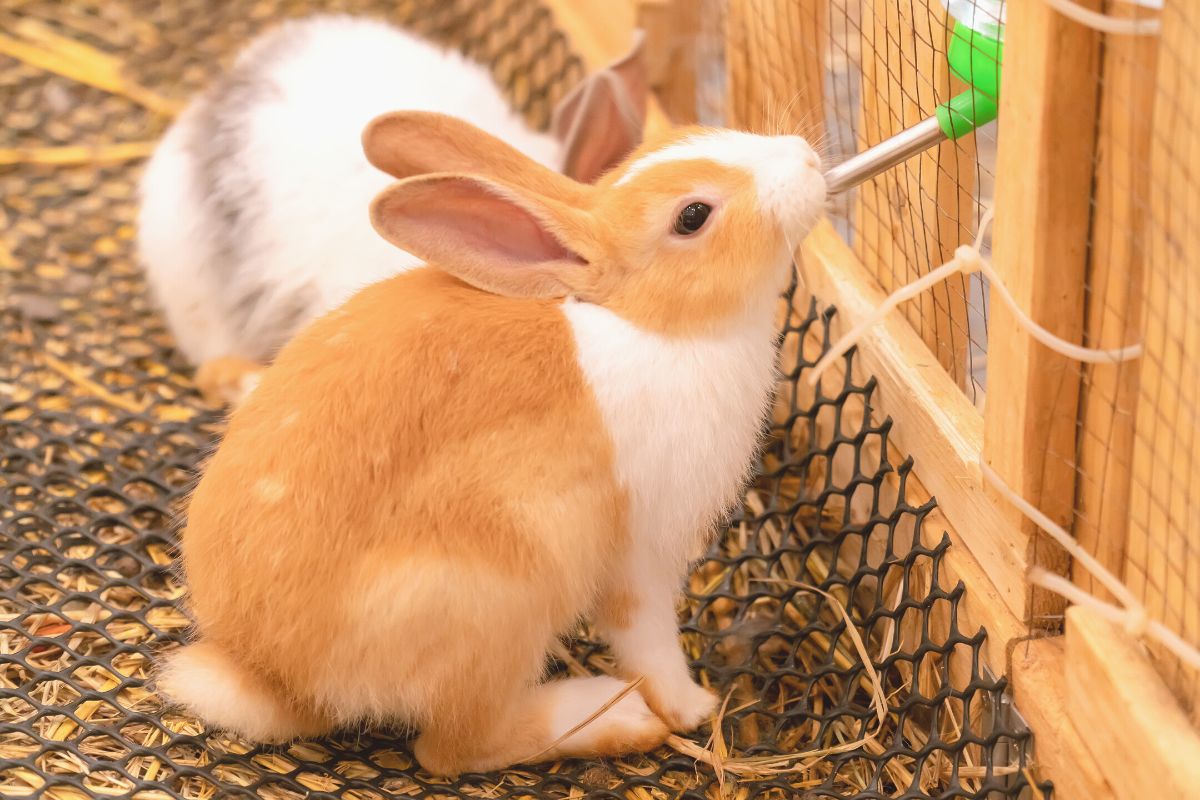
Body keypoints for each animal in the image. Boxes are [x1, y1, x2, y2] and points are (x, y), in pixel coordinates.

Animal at [156, 110, 826, 776]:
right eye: (693, 216)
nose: (808, 160)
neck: (652, 324)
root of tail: (268, 677)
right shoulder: (641, 550)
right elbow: (648, 638)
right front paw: (691, 706)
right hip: (497, 593)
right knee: (453, 748)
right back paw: (612, 718)